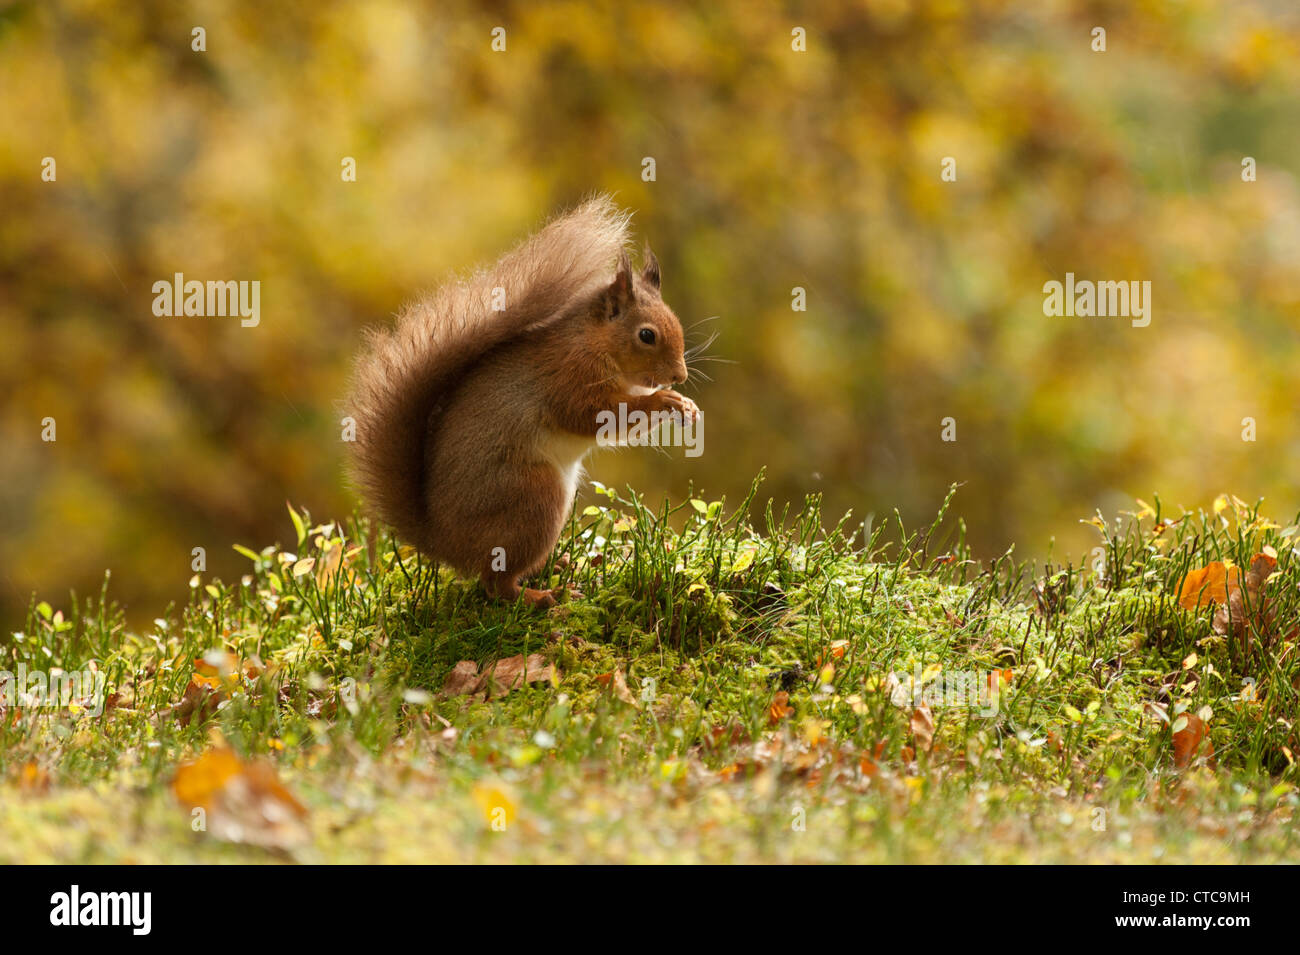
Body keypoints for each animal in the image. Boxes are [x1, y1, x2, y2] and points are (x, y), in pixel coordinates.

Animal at [348, 196, 700, 608]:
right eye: (646, 335)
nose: (679, 376)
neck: (593, 341)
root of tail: (442, 542)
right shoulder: (569, 377)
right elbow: (596, 416)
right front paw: (665, 400)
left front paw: (686, 406)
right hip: (533, 498)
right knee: (495, 585)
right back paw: (541, 596)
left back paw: (558, 564)